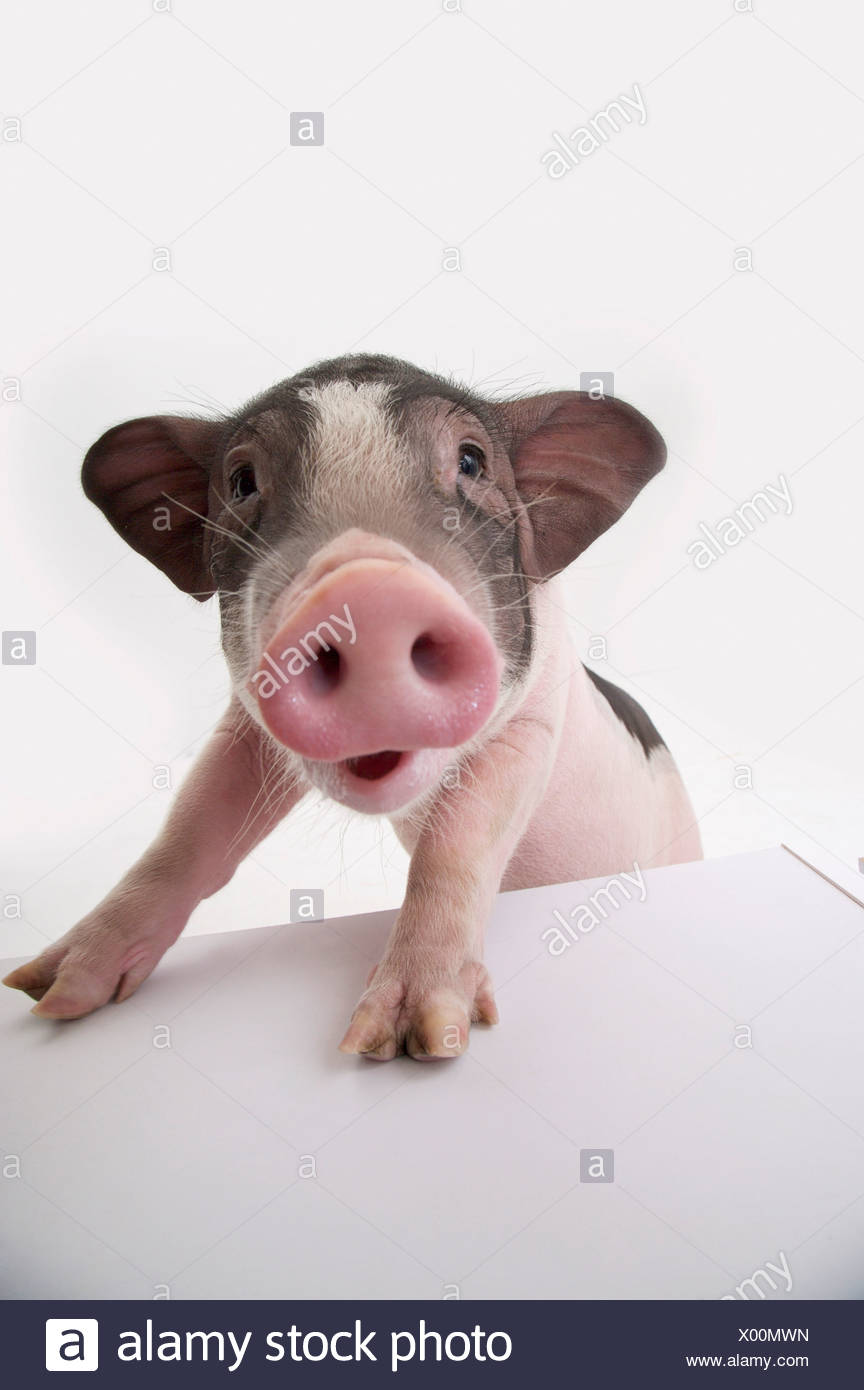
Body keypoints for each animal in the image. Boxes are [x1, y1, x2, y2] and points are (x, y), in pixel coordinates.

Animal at [4, 354, 702, 1059]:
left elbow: (457, 843)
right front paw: (47, 994)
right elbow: (192, 829)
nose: (368, 593)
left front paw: (420, 1041)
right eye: (241, 481)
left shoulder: (534, 721)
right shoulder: (249, 731)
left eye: (472, 461)